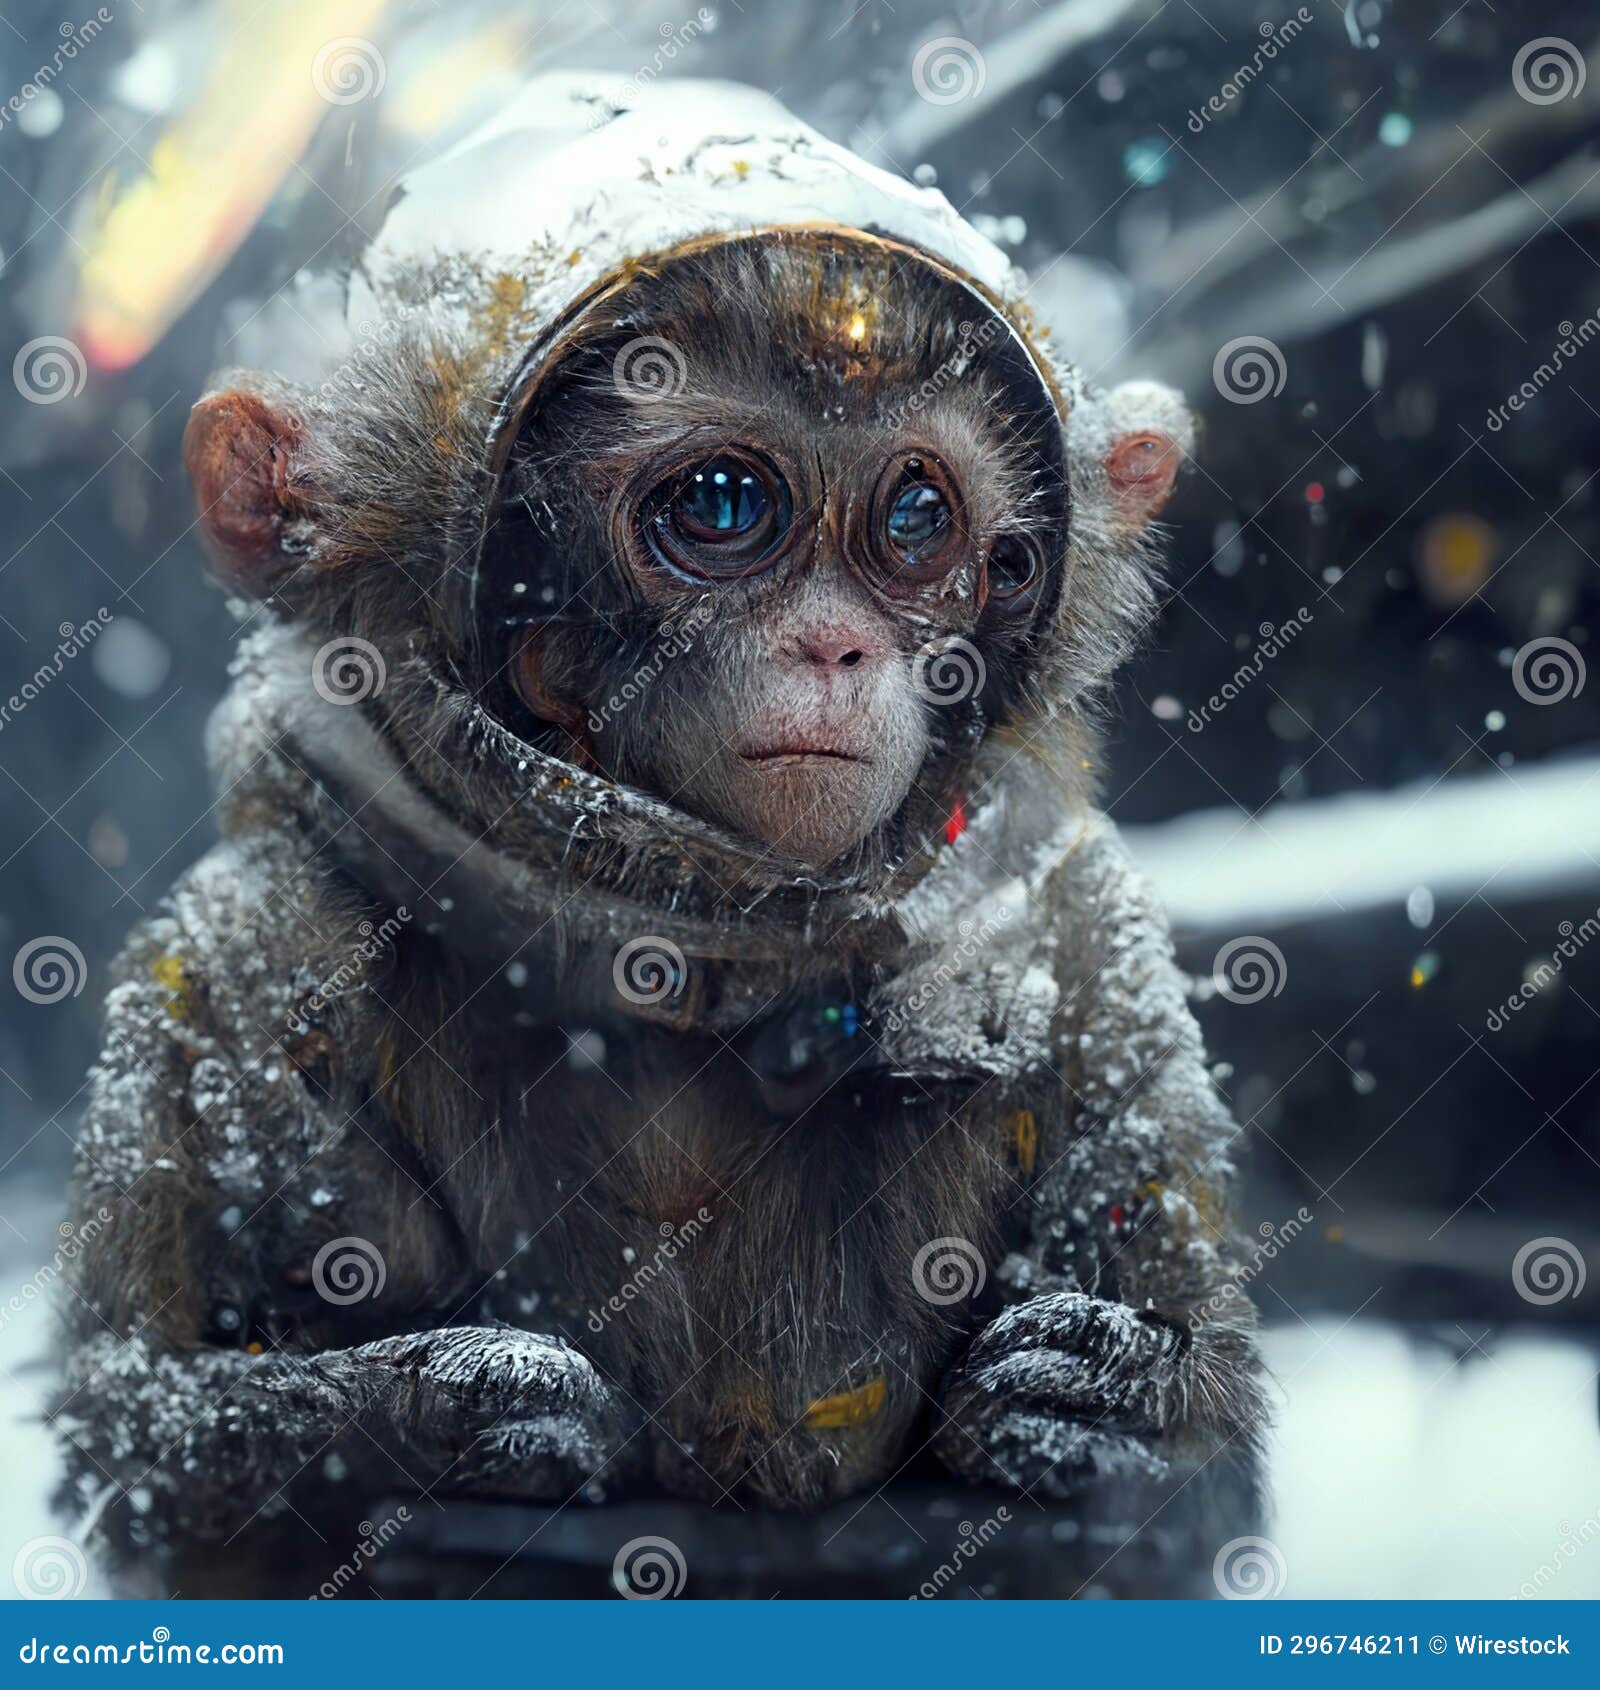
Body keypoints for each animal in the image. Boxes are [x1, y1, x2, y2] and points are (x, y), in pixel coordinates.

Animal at [56, 76, 1262, 1557]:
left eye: (919, 517)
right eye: (724, 503)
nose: (837, 647)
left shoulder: (1095, 924)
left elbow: (1204, 1468)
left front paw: (1104, 1398)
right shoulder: (238, 946)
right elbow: (127, 1426)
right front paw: (456, 1407)